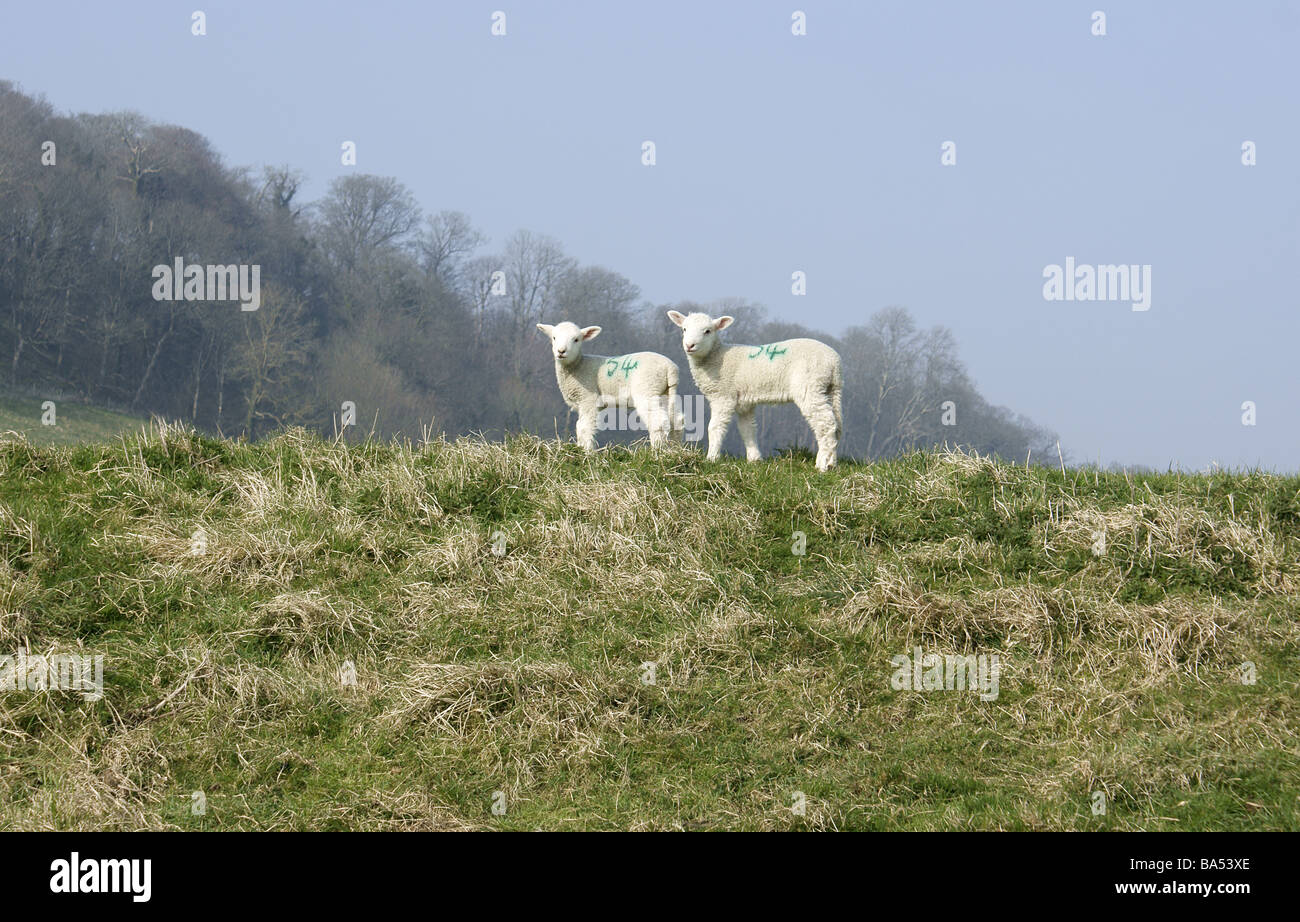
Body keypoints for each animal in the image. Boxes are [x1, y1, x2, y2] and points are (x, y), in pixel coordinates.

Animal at [536, 321, 685, 450]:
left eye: (576, 339)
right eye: (554, 337)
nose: (561, 351)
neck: (579, 366)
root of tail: (670, 368)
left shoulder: (588, 398)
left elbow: (585, 427)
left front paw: (586, 452)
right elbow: (579, 426)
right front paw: (580, 448)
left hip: (647, 388)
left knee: (657, 421)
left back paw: (657, 451)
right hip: (665, 391)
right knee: (676, 420)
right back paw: (674, 450)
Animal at [666, 310, 843, 471]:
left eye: (708, 331)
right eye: (684, 329)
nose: (689, 345)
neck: (716, 356)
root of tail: (835, 362)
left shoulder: (723, 396)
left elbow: (714, 427)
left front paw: (712, 458)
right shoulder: (744, 402)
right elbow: (747, 429)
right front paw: (754, 459)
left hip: (810, 386)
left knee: (826, 424)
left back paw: (821, 465)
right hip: (828, 389)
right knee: (835, 425)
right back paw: (831, 463)